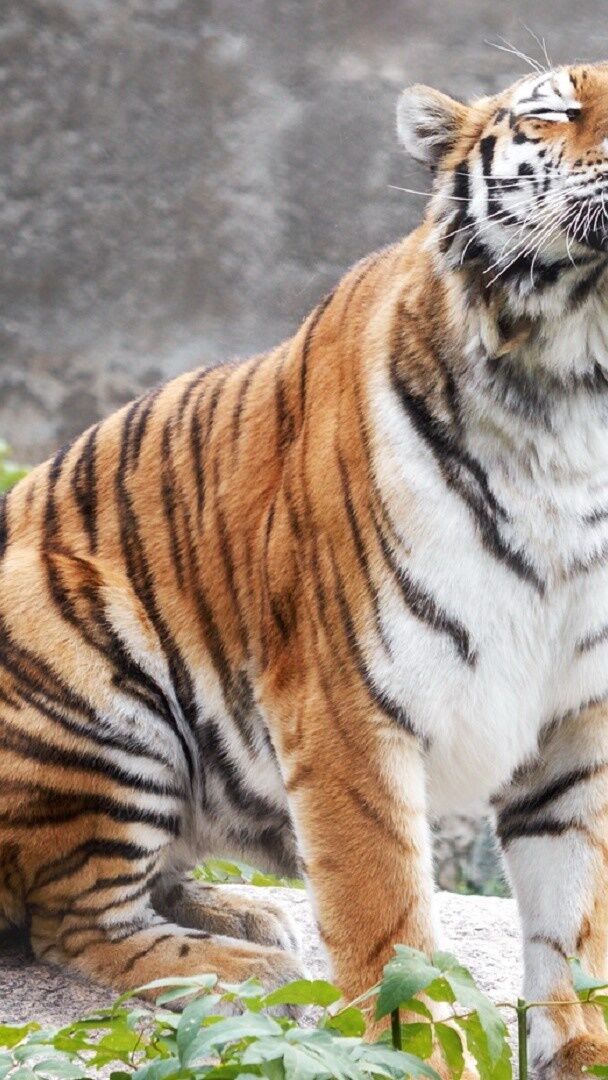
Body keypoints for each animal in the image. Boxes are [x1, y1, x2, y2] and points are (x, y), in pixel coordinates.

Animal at [5, 56, 608, 1076]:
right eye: (559, 109)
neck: (575, 392)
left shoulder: (580, 716)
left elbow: (577, 920)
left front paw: (582, 1050)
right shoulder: (345, 704)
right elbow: (389, 924)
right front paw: (413, 1054)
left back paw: (247, 917)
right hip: (86, 673)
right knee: (72, 920)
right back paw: (247, 971)